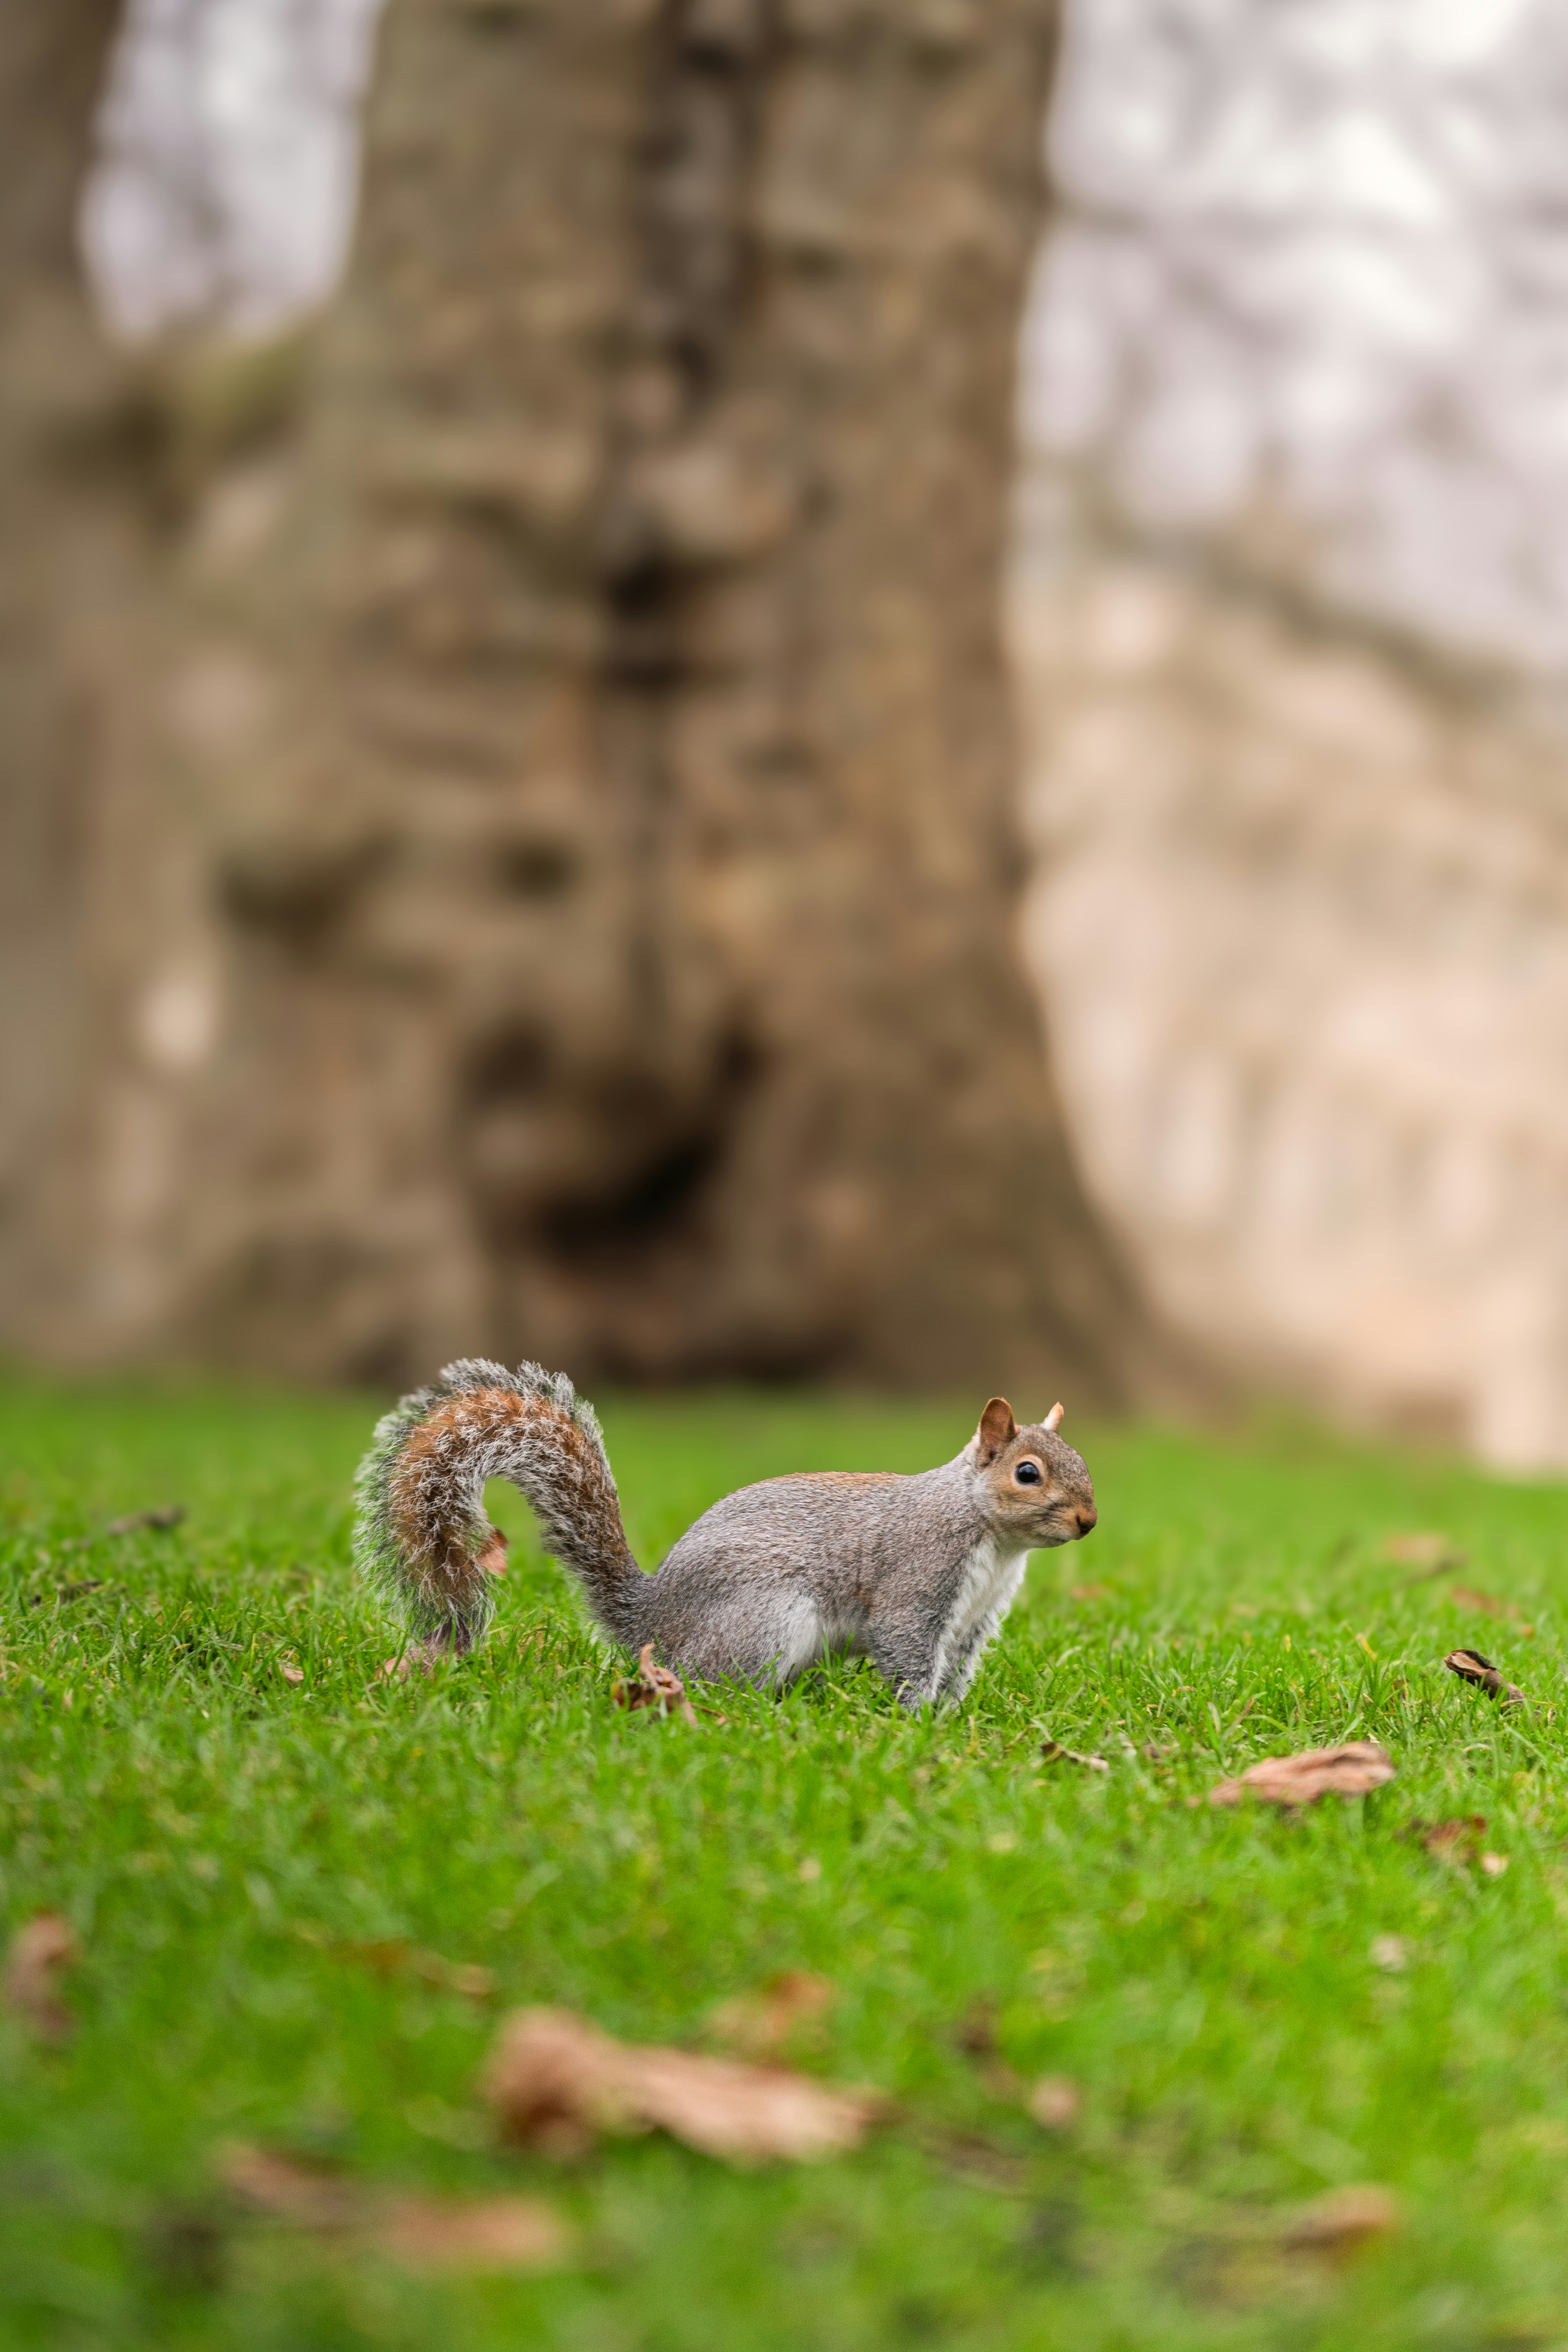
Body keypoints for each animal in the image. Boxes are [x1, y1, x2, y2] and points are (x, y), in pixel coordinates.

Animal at [354, 1359, 1097, 1709]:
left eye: (1083, 1463)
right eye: (1028, 1474)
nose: (1088, 1521)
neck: (992, 1540)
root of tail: (655, 1618)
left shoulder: (975, 1616)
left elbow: (956, 1668)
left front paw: (950, 1717)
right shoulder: (918, 1582)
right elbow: (907, 1650)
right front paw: (914, 1723)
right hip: (764, 1619)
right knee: (713, 1683)